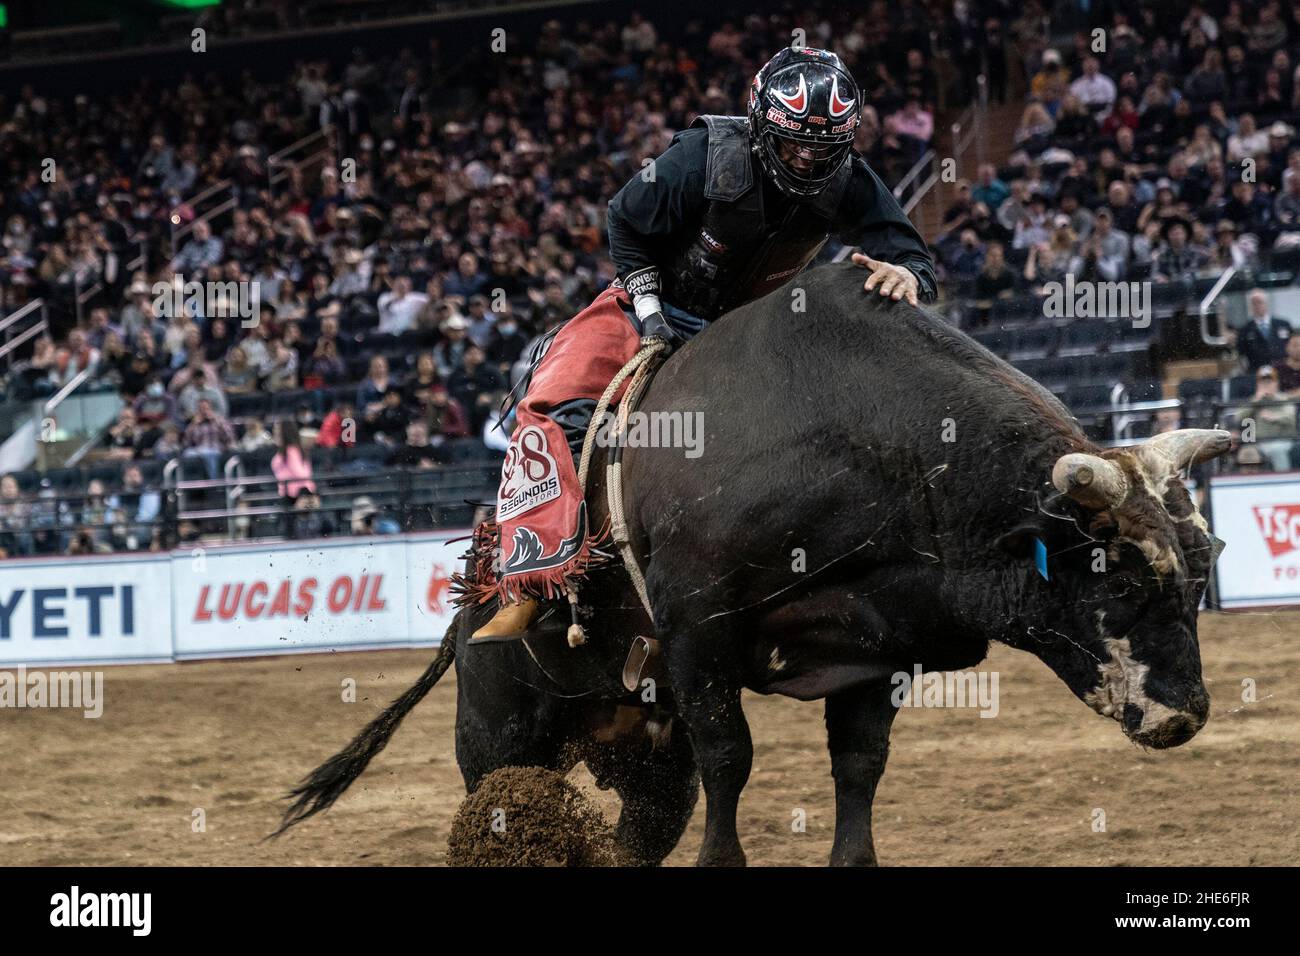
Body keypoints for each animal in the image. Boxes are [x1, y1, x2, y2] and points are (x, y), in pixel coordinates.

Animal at [276, 261, 1228, 866]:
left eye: (1200, 570)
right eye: (1119, 574)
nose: (1184, 715)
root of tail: (474, 587)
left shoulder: (876, 650)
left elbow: (858, 769)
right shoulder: (699, 635)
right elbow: (732, 757)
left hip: (645, 757)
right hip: (499, 728)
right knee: (499, 798)